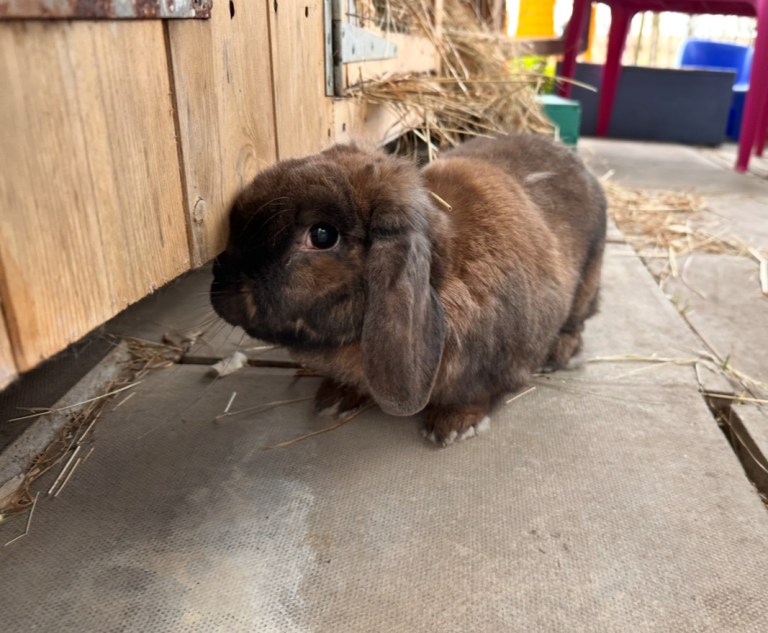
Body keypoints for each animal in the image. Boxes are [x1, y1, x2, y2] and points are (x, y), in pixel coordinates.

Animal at [211, 133, 607, 446]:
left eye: (322, 235)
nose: (219, 286)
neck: (443, 276)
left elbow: (479, 395)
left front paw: (452, 427)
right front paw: (334, 399)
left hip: (587, 283)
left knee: (578, 322)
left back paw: (560, 353)